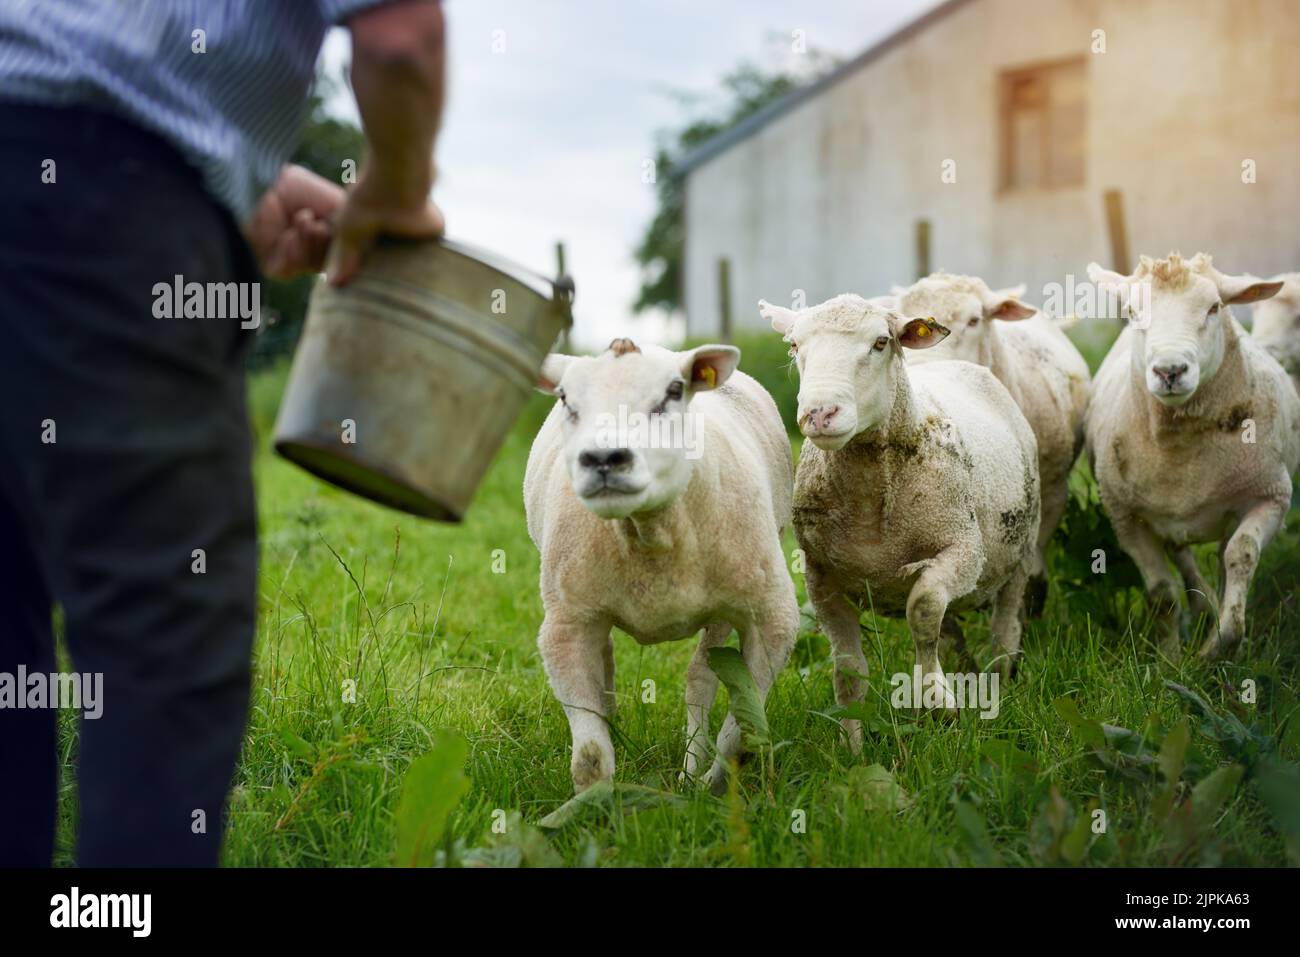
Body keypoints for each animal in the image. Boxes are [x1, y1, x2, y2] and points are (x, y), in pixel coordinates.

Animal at [524, 338, 799, 793]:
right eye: (565, 398)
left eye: (673, 390)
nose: (604, 458)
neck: (651, 533)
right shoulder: (564, 627)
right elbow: (590, 758)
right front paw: (595, 804)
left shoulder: (772, 620)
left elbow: (740, 733)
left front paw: (710, 788)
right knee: (610, 666)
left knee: (700, 678)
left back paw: (692, 772)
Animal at [758, 295, 1040, 747]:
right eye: (795, 346)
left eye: (880, 343)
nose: (819, 413)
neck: (869, 505)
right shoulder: (820, 579)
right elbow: (849, 670)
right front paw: (852, 746)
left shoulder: (963, 548)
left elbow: (922, 609)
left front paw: (938, 701)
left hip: (1022, 547)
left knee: (1004, 626)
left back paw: (999, 679)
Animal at [1086, 254, 1300, 660]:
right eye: (1132, 311)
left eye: (1214, 308)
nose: (1170, 370)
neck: (1183, 461)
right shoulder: (1126, 518)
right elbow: (1162, 595)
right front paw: (1169, 660)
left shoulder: (1270, 497)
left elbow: (1240, 555)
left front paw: (1217, 648)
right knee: (1182, 555)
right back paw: (1202, 606)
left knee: (1224, 555)